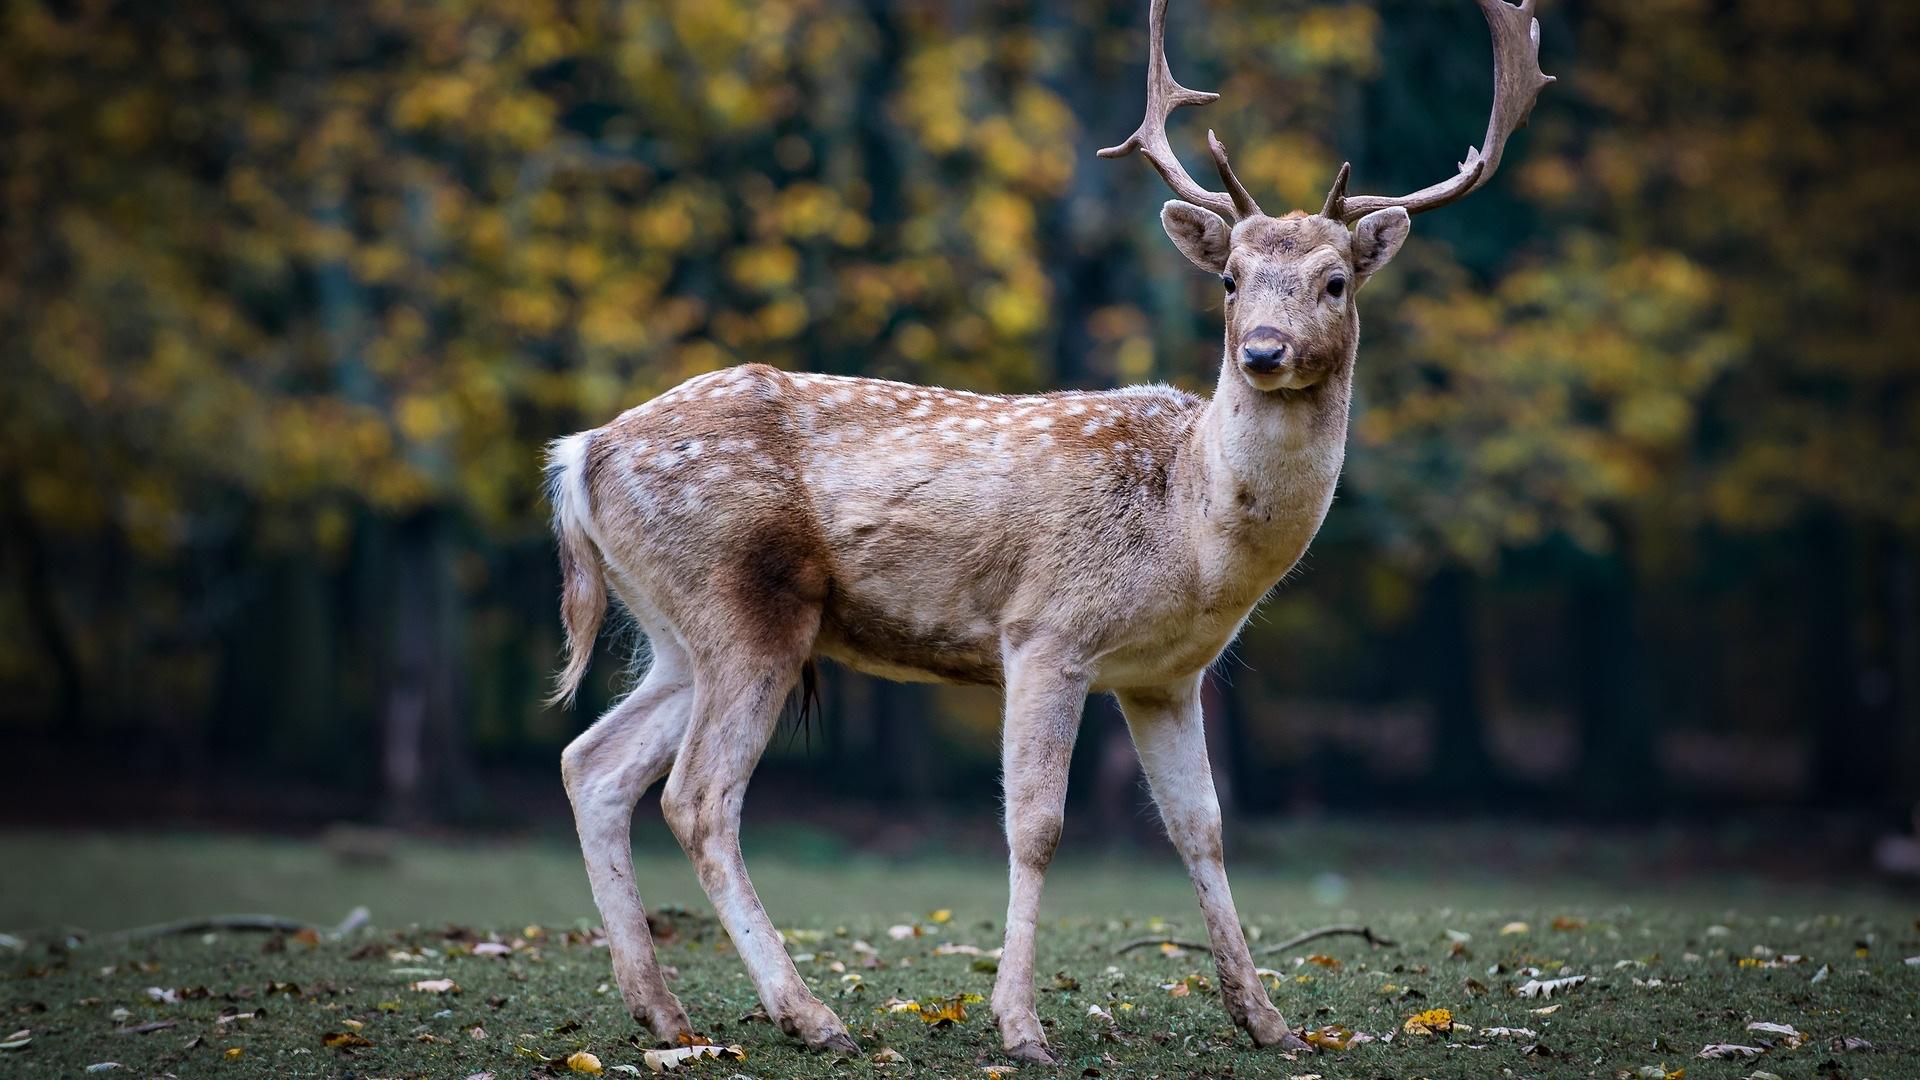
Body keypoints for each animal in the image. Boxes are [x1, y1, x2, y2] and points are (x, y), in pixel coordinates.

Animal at [549, 0, 1550, 1064]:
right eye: (1231, 280)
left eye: (1334, 282)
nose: (1263, 351)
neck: (1191, 535)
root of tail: (582, 455)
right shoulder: (1046, 633)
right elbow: (1037, 825)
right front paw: (1021, 1027)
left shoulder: (1165, 676)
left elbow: (1202, 826)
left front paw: (1269, 1021)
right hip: (745, 603)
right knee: (698, 798)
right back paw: (811, 1016)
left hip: (676, 630)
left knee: (593, 765)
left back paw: (664, 1013)